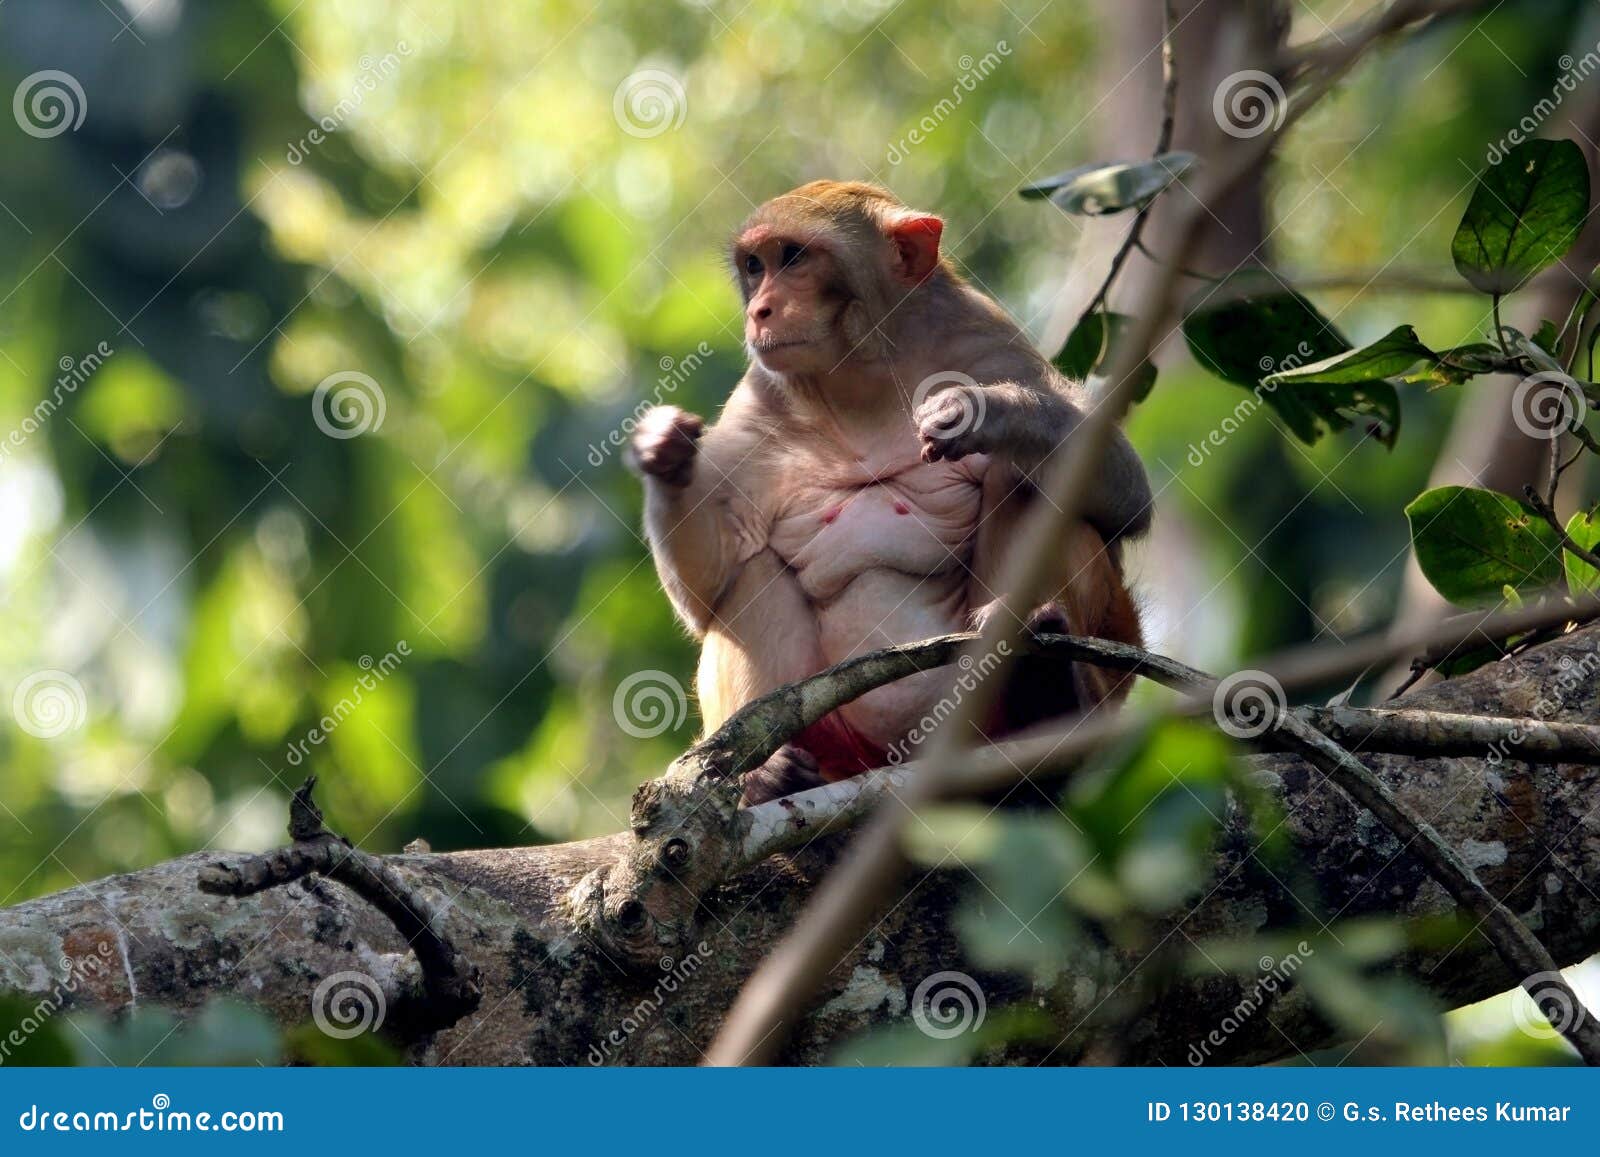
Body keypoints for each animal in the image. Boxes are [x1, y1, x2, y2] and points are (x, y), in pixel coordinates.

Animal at [628, 180, 1151, 805]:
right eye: (755, 266)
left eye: (793, 258)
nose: (759, 310)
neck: (863, 373)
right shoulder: (756, 403)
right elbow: (710, 588)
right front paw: (665, 456)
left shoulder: (989, 342)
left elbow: (1128, 499)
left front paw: (988, 411)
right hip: (832, 738)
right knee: (752, 577)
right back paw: (763, 779)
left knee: (1030, 487)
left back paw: (1050, 694)